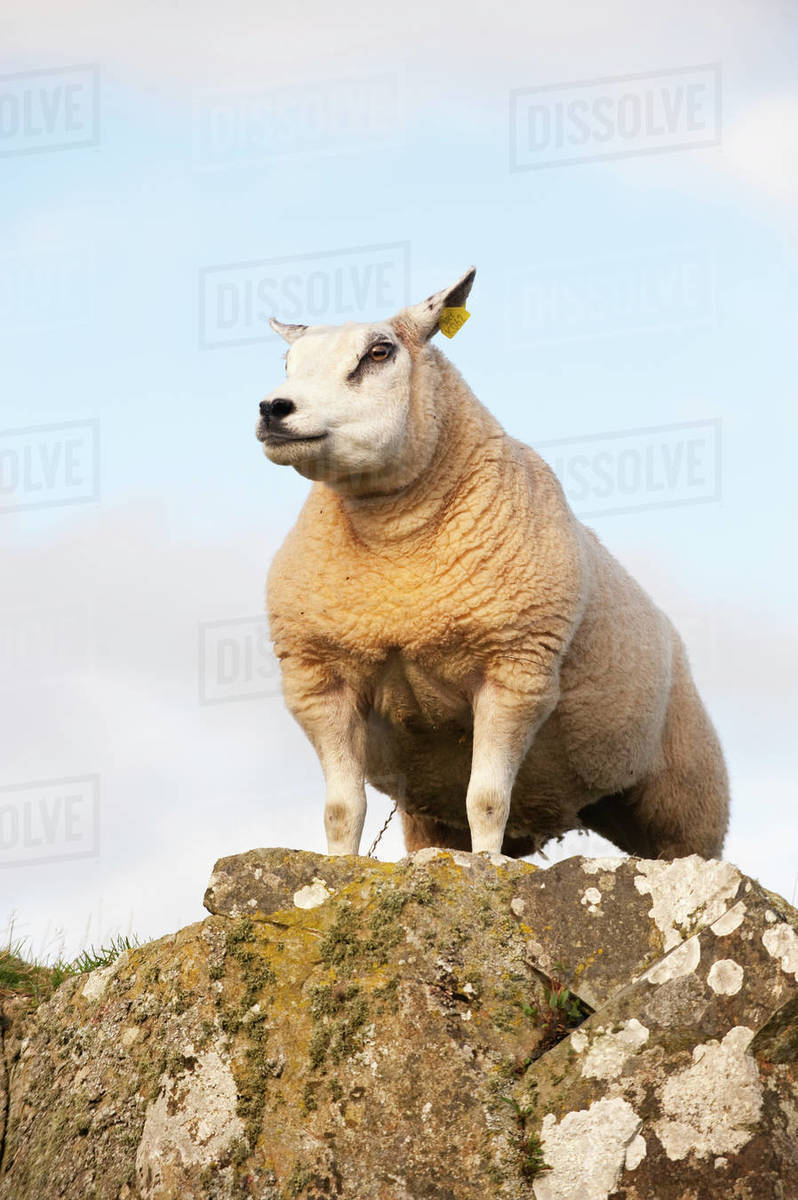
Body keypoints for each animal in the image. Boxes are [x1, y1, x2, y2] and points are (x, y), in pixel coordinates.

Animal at [258, 266, 729, 861]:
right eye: (287, 363)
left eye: (380, 352)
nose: (273, 409)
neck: (396, 548)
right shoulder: (319, 678)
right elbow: (342, 810)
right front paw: (339, 867)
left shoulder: (515, 670)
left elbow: (486, 799)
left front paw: (485, 866)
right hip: (432, 809)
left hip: (688, 801)